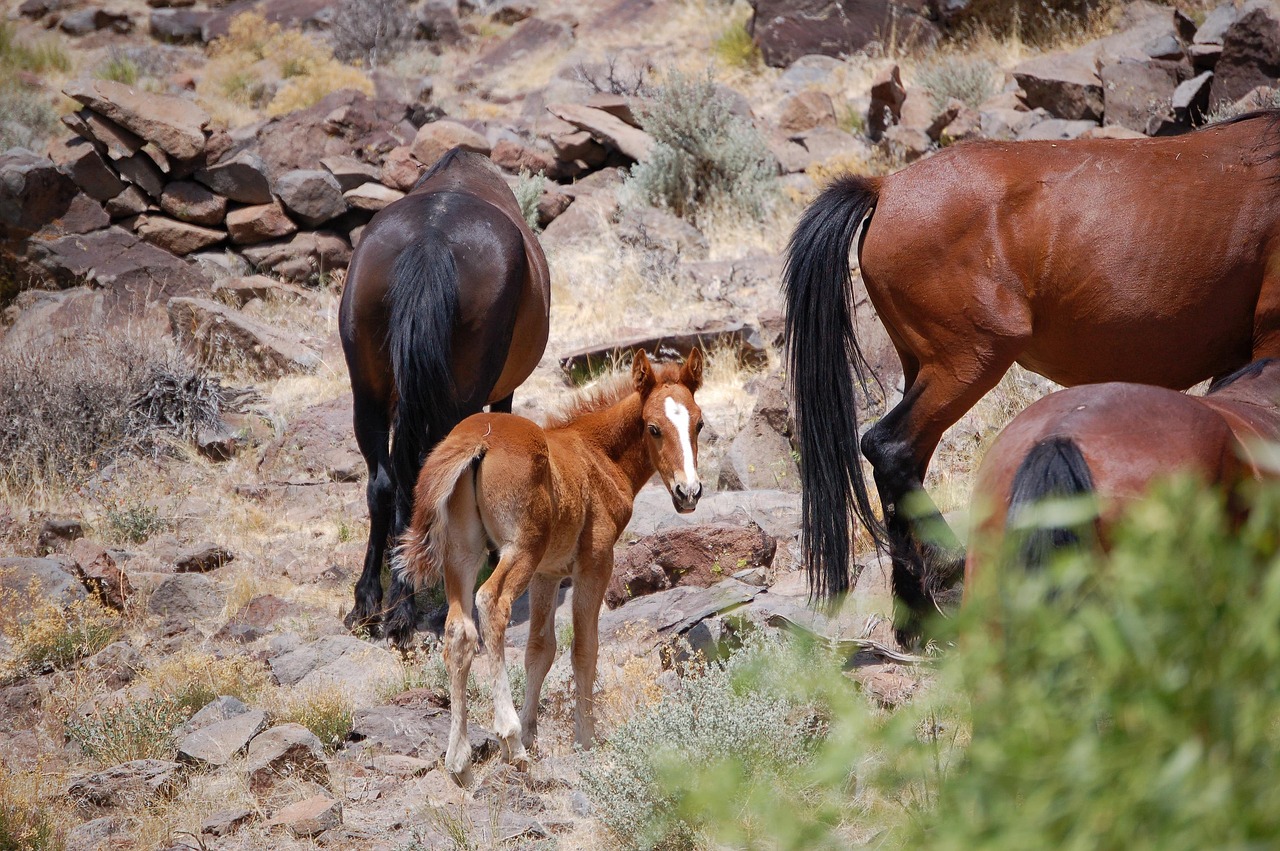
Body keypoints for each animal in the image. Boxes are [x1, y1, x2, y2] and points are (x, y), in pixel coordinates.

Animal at [339, 147, 550, 647]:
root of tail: (431, 236)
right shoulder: (502, 393)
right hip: (463, 398)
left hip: (367, 391)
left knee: (385, 483)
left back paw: (375, 603)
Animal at [393, 349, 704, 785]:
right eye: (654, 428)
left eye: (699, 424)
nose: (688, 492)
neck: (598, 456)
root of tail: (477, 438)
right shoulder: (595, 564)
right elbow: (584, 648)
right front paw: (582, 738)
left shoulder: (548, 573)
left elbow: (540, 649)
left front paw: (532, 732)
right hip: (520, 549)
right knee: (491, 603)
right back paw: (509, 740)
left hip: (462, 553)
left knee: (459, 630)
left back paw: (459, 759)